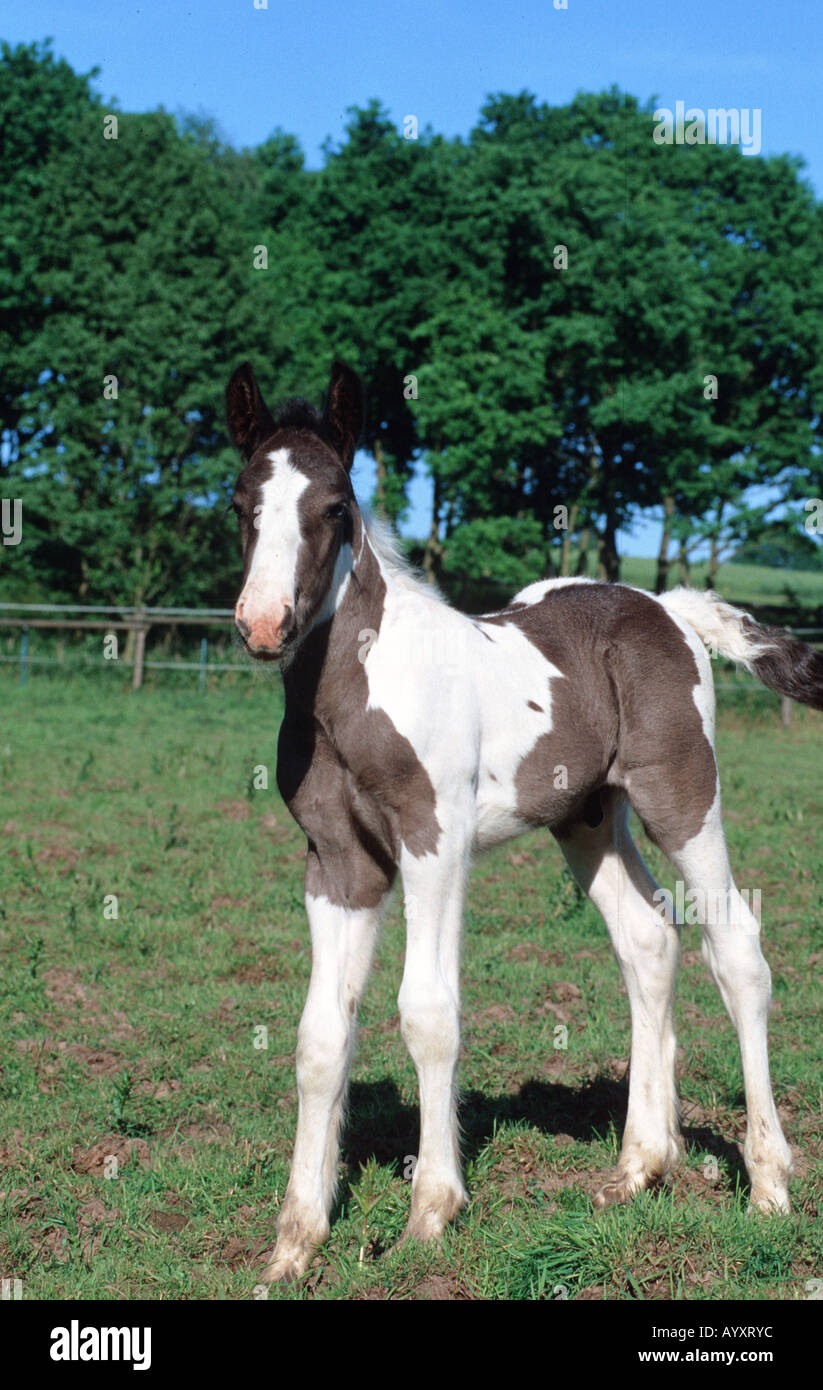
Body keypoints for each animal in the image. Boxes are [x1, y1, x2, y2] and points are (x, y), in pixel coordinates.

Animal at [226, 358, 823, 1283]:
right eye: (240, 503)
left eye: (334, 506)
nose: (262, 625)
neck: (358, 690)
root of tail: (669, 608)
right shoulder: (337, 864)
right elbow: (321, 1037)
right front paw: (294, 1243)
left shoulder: (433, 846)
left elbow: (428, 1013)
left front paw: (429, 1214)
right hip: (586, 818)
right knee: (648, 942)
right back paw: (639, 1166)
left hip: (681, 799)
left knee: (736, 951)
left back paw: (767, 1184)